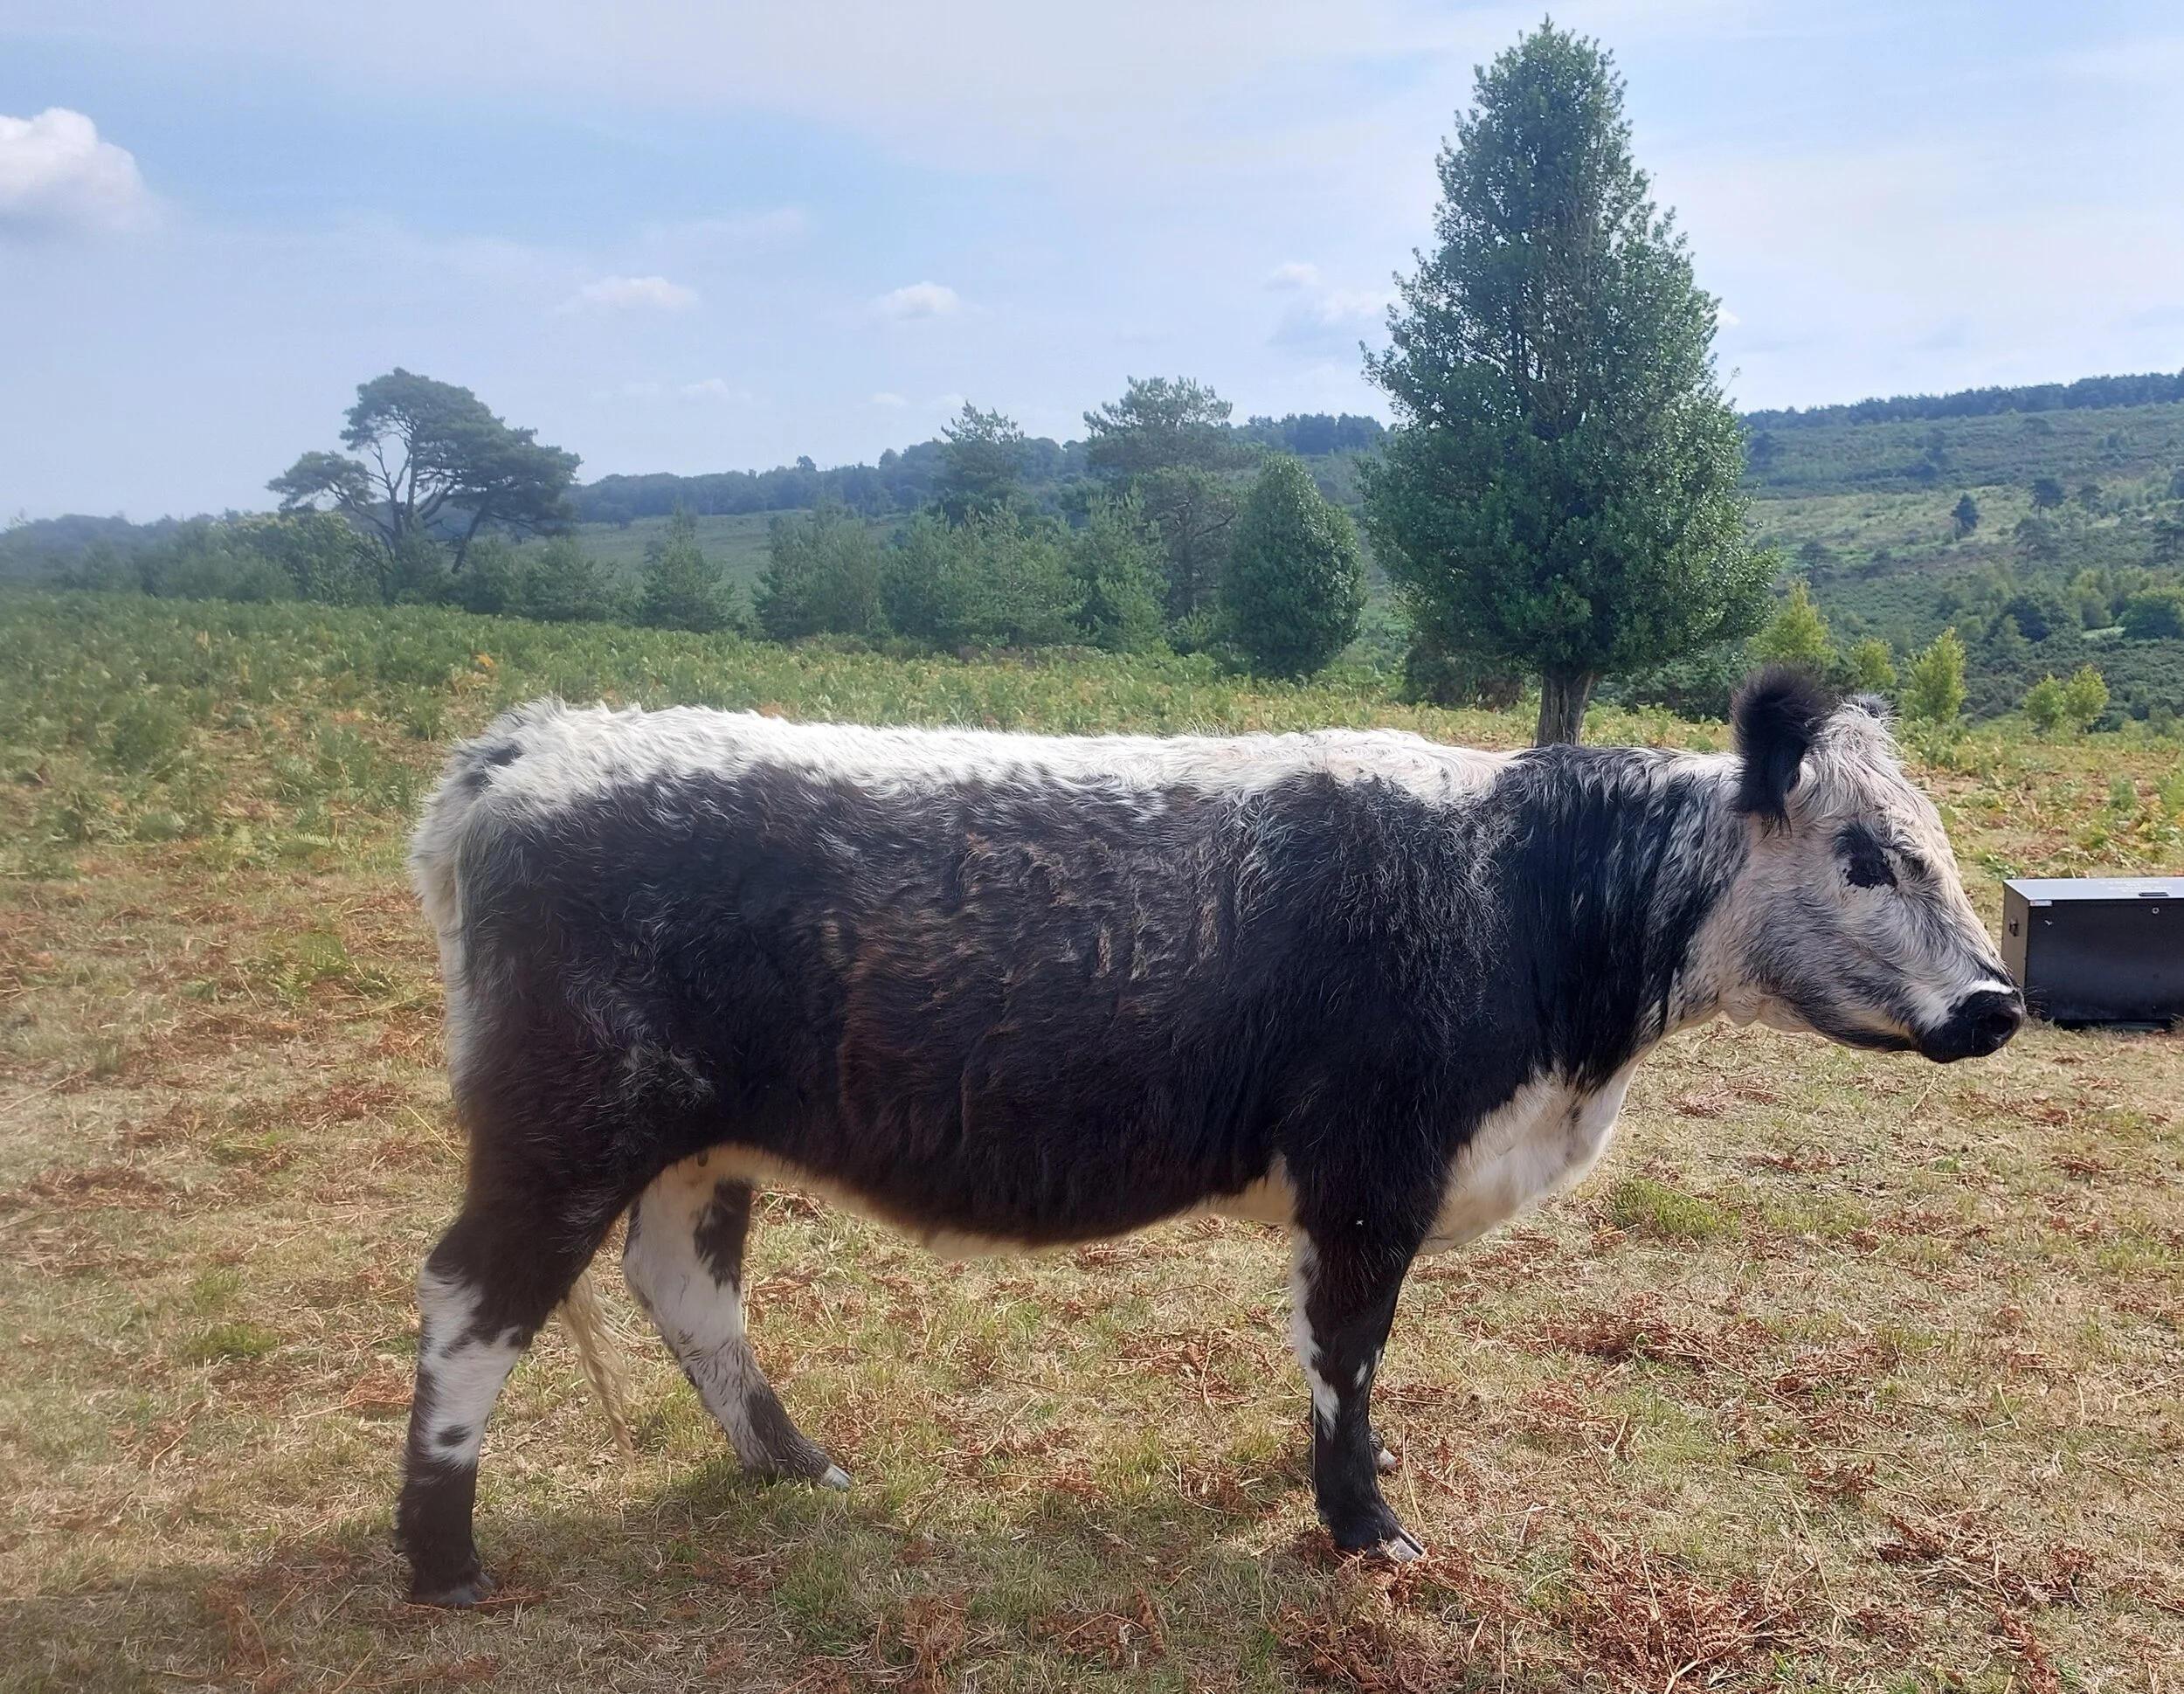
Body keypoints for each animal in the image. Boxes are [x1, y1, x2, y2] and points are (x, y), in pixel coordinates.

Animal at [394, 669, 2021, 1605]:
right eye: (1865, 856)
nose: (1999, 1000)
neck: (1522, 895)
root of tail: (544, 743)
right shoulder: (1370, 1166)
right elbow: (1347, 1345)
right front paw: (1366, 1523)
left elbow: (1344, 1359)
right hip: (565, 1127)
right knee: (474, 1298)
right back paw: (442, 1554)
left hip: (694, 1145)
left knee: (686, 1286)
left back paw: (794, 1463)